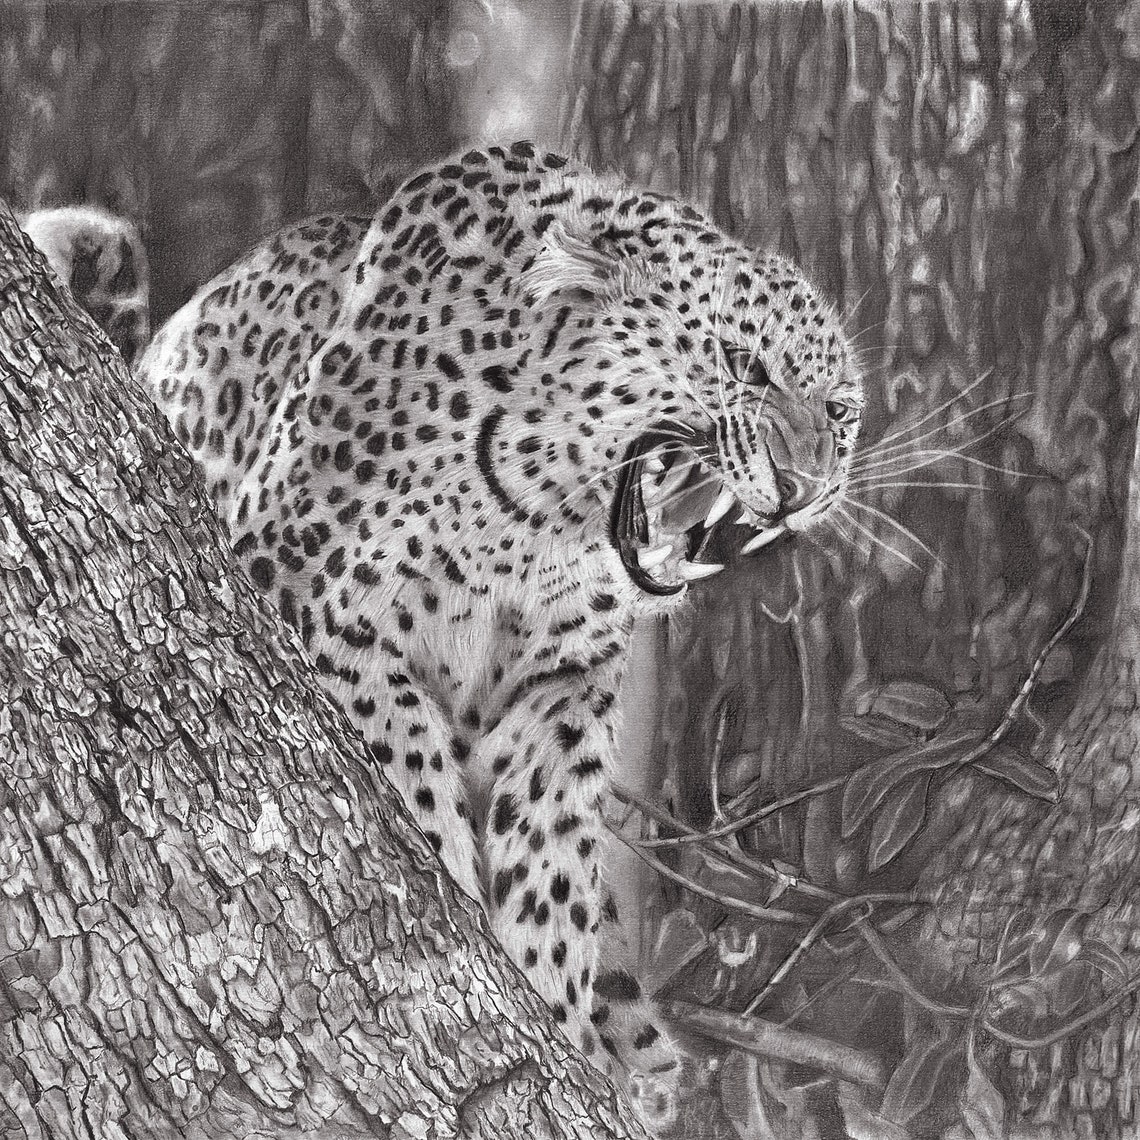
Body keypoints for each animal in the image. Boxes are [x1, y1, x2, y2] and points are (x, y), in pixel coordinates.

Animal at [25, 140, 863, 1129]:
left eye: (841, 411)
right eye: (743, 363)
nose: (806, 487)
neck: (541, 509)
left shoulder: (564, 684)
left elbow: (549, 853)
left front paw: (550, 1000)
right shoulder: (303, 585)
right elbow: (400, 749)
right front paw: (448, 869)